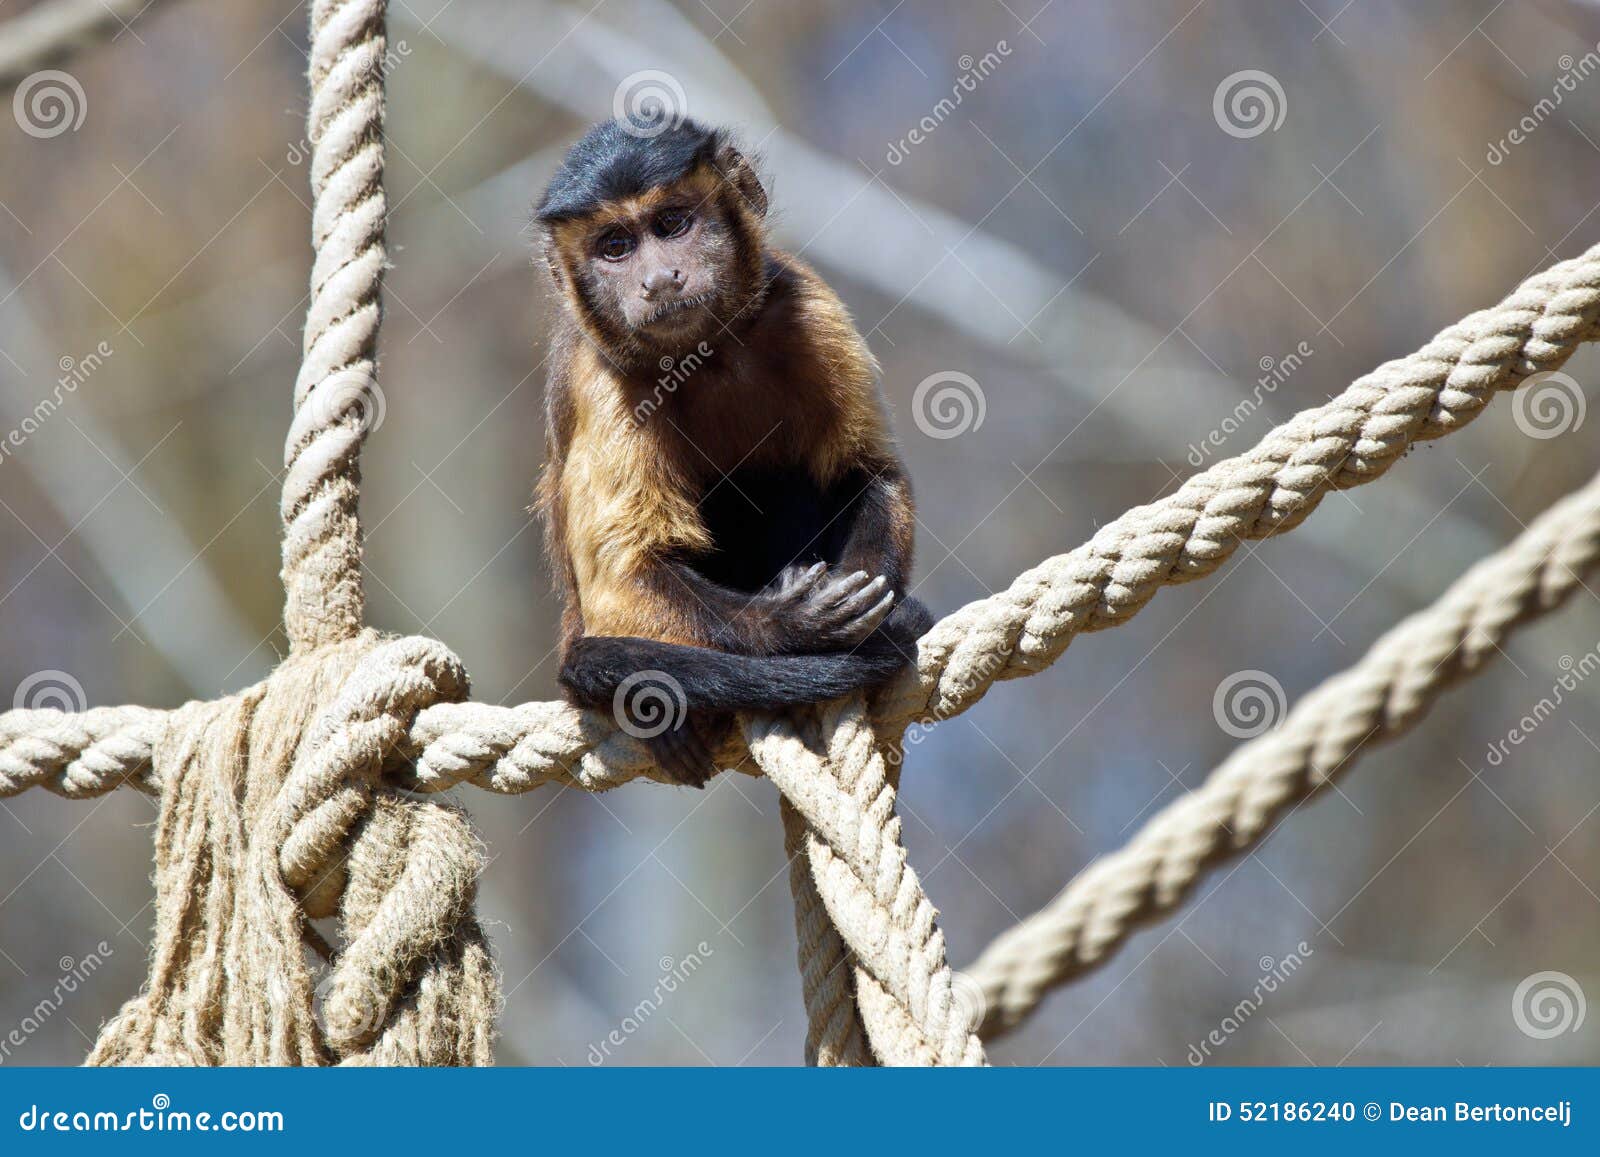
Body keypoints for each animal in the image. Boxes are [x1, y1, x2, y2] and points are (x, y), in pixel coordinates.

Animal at [533, 117, 930, 787]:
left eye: (671, 224)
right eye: (615, 246)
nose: (657, 279)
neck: (705, 353)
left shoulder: (803, 299)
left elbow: (868, 472)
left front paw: (863, 605)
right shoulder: (601, 378)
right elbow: (627, 579)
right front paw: (792, 624)